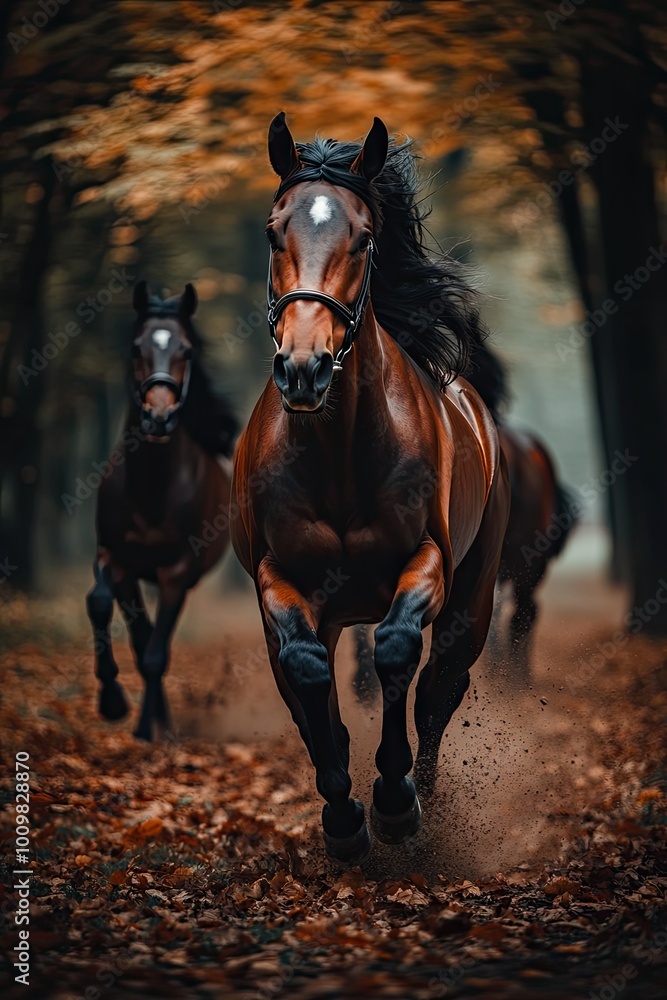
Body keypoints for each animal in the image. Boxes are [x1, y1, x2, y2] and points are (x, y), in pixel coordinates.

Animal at [86, 281, 238, 741]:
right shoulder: (115, 559)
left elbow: (156, 655)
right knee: (144, 637)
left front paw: (144, 731)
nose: (157, 417)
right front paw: (112, 701)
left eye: (186, 351)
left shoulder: (176, 573)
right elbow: (100, 604)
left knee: (158, 646)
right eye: (136, 347)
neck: (150, 494)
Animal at [230, 113, 510, 865]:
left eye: (361, 237)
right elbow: (306, 675)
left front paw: (393, 802)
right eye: (272, 231)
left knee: (439, 687)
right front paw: (343, 817)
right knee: (312, 681)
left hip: (474, 594)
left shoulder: (427, 562)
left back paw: (427, 801)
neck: (338, 455)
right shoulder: (278, 578)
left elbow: (394, 651)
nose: (304, 368)